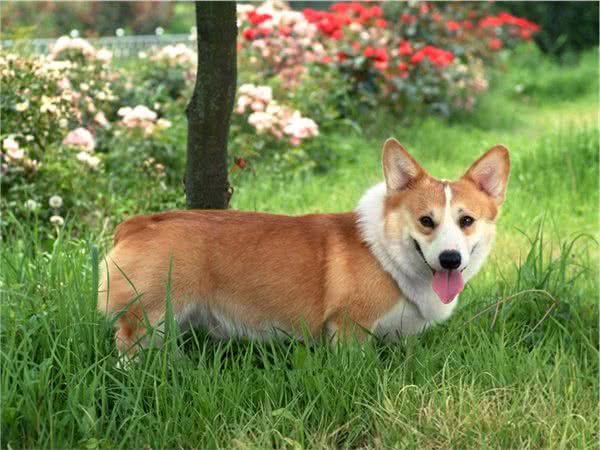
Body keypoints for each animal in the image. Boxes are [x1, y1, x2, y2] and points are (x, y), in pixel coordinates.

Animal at [98, 138, 510, 356]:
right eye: (426, 221)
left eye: (467, 221)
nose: (450, 260)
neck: (388, 256)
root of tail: (136, 224)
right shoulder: (349, 327)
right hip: (149, 318)